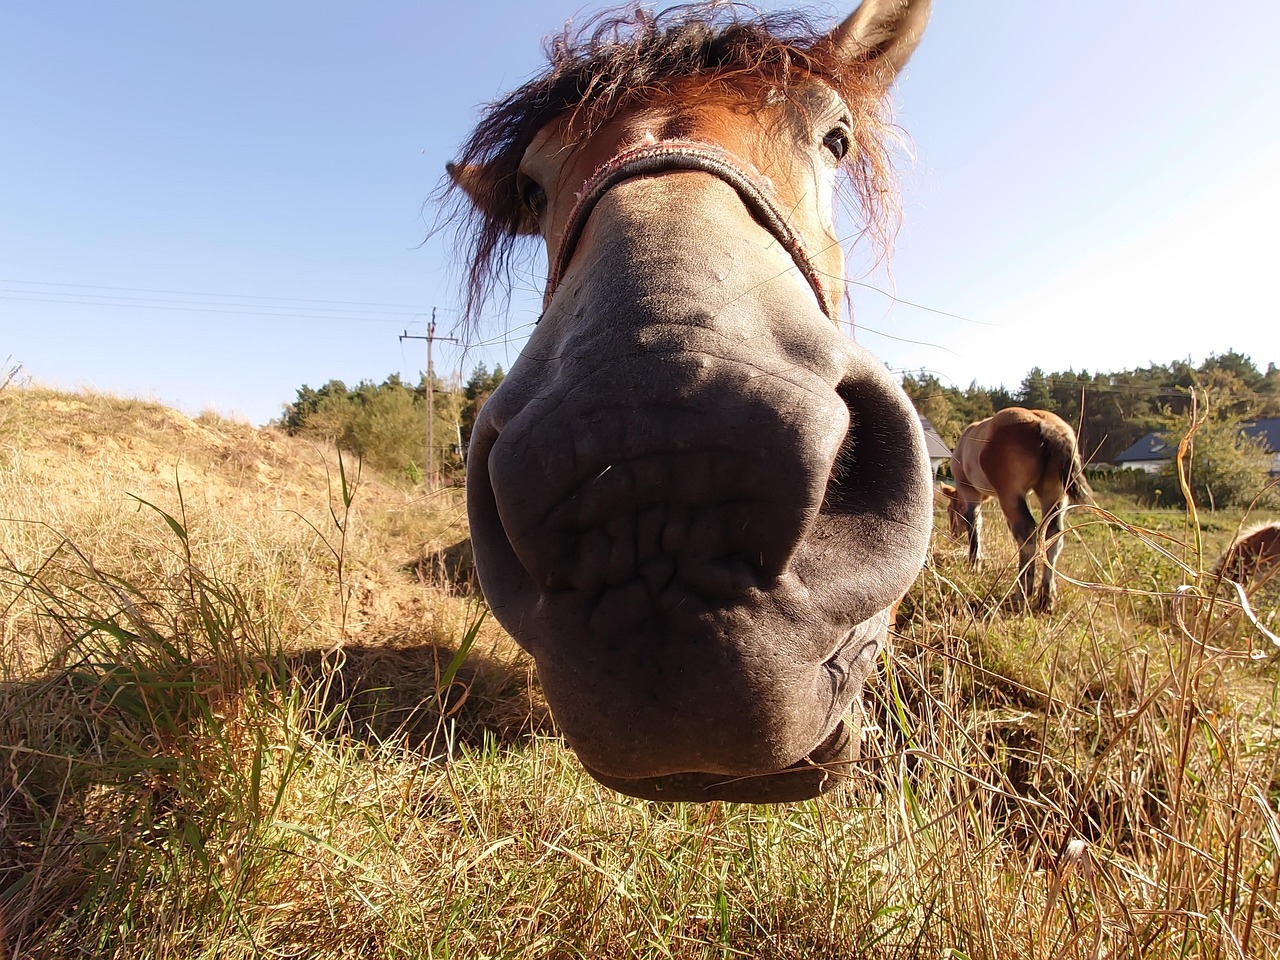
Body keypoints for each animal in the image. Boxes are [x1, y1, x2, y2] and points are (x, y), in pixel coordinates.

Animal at [939, 407, 1093, 613]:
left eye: (950, 510)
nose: (953, 535)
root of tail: (1045, 424)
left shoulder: (969, 491)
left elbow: (975, 523)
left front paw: (974, 563)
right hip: (1054, 494)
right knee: (1053, 535)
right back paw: (1046, 598)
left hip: (1010, 494)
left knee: (1026, 533)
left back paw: (1022, 593)